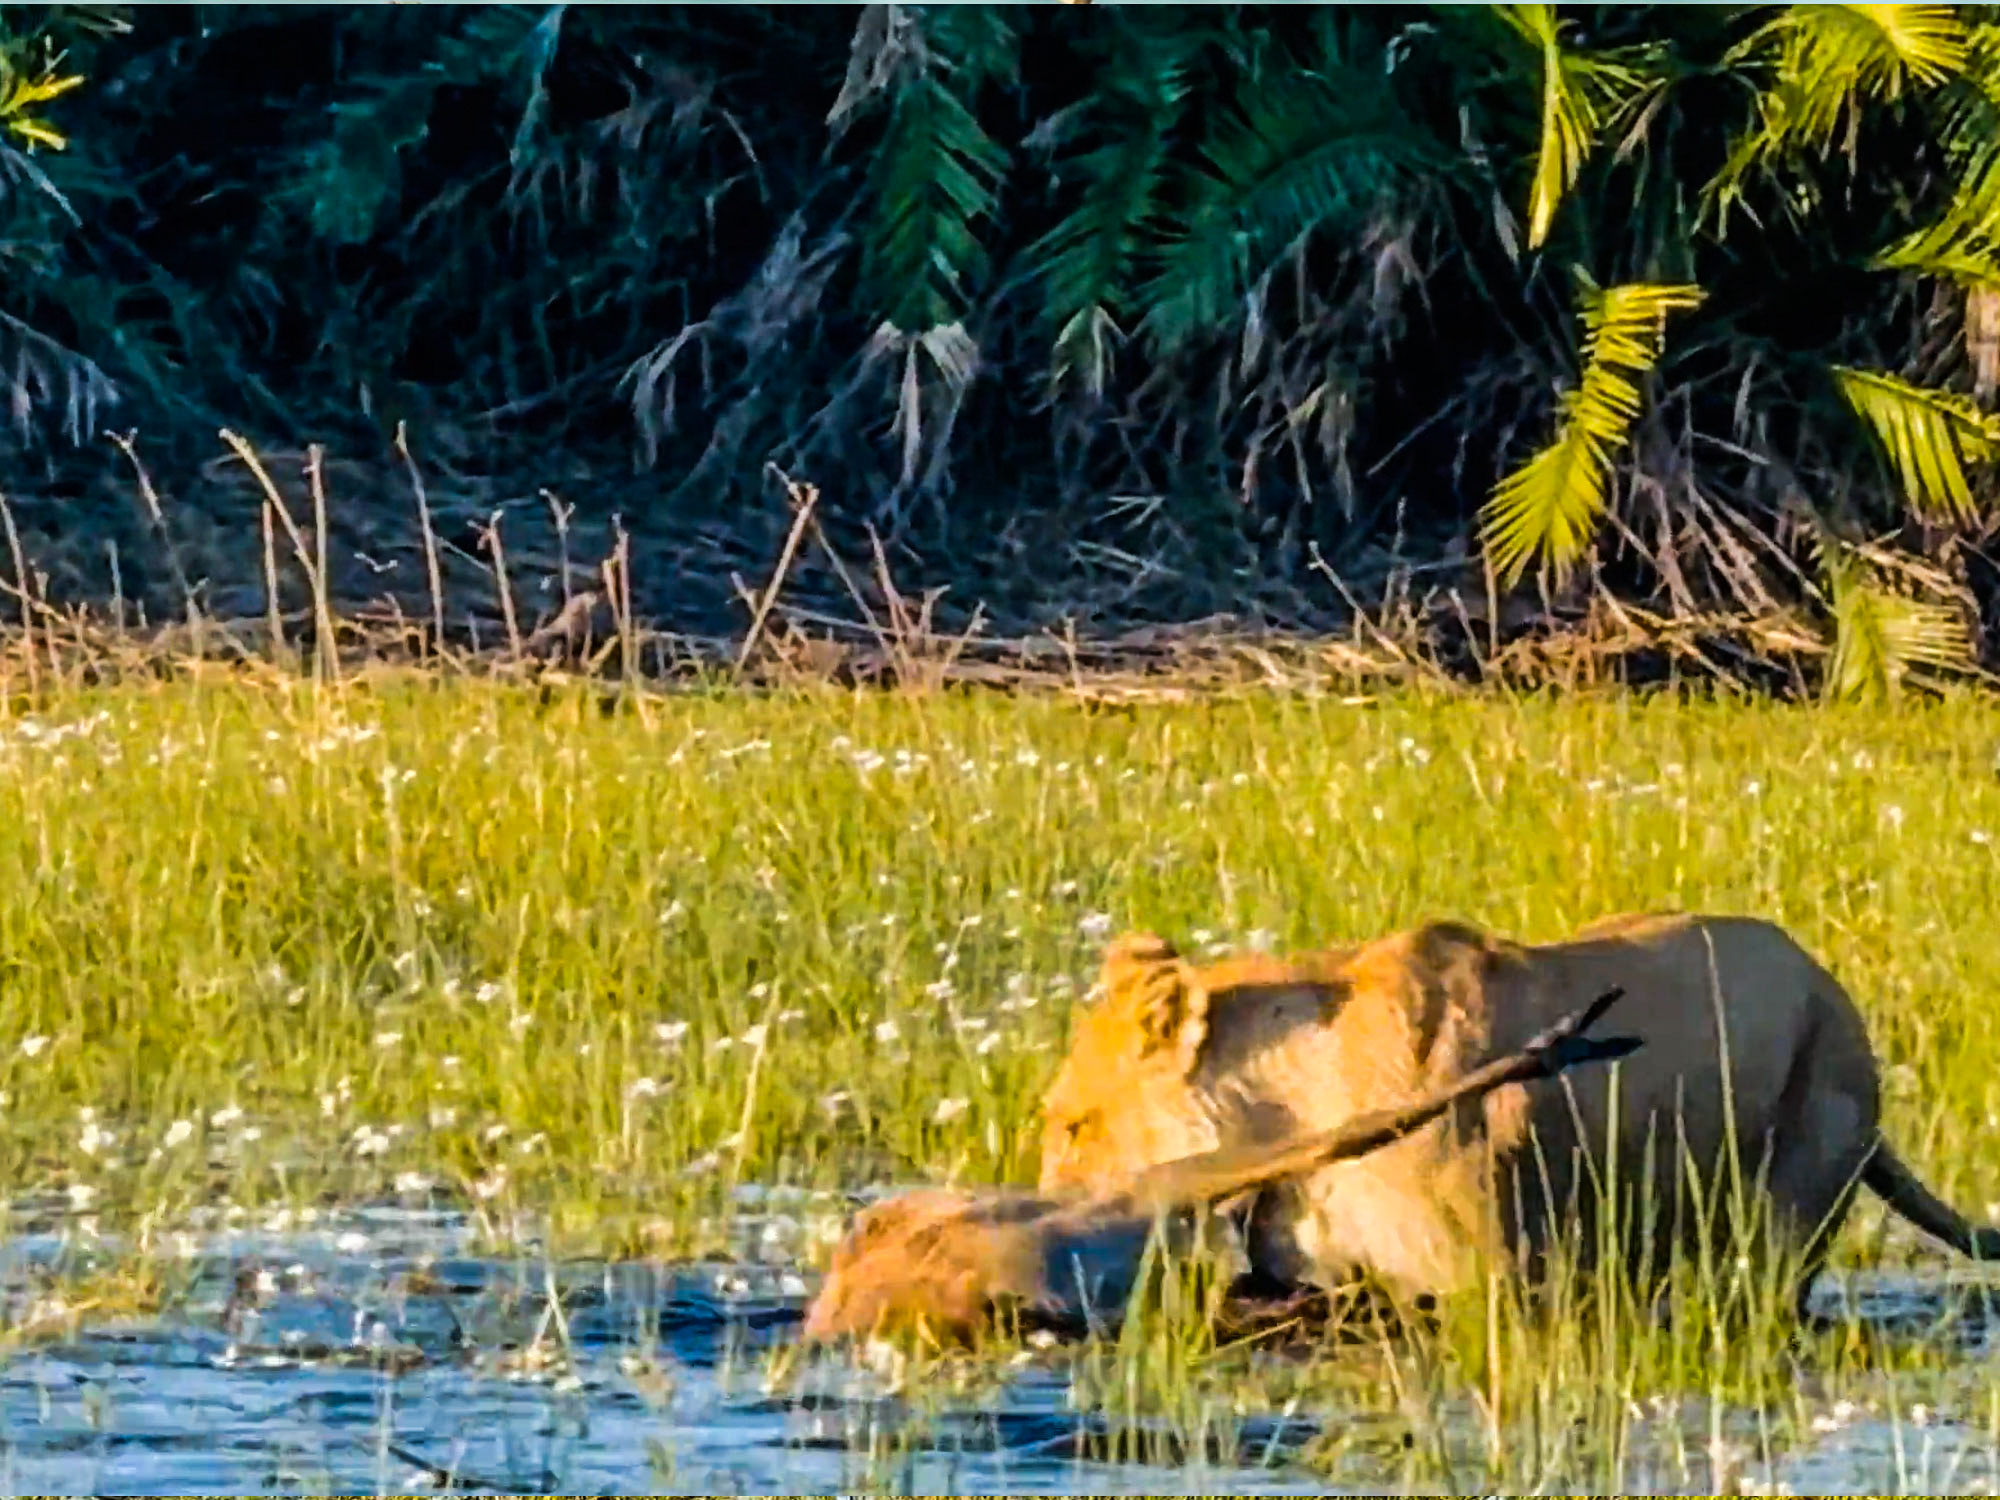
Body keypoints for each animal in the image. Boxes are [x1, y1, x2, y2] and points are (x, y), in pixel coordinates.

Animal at [1037, 914, 1999, 1316]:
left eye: (1074, 1126)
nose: (1042, 1211)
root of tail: (1833, 990)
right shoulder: (1308, 1278)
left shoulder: (1487, 1279)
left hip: (1793, 1204)